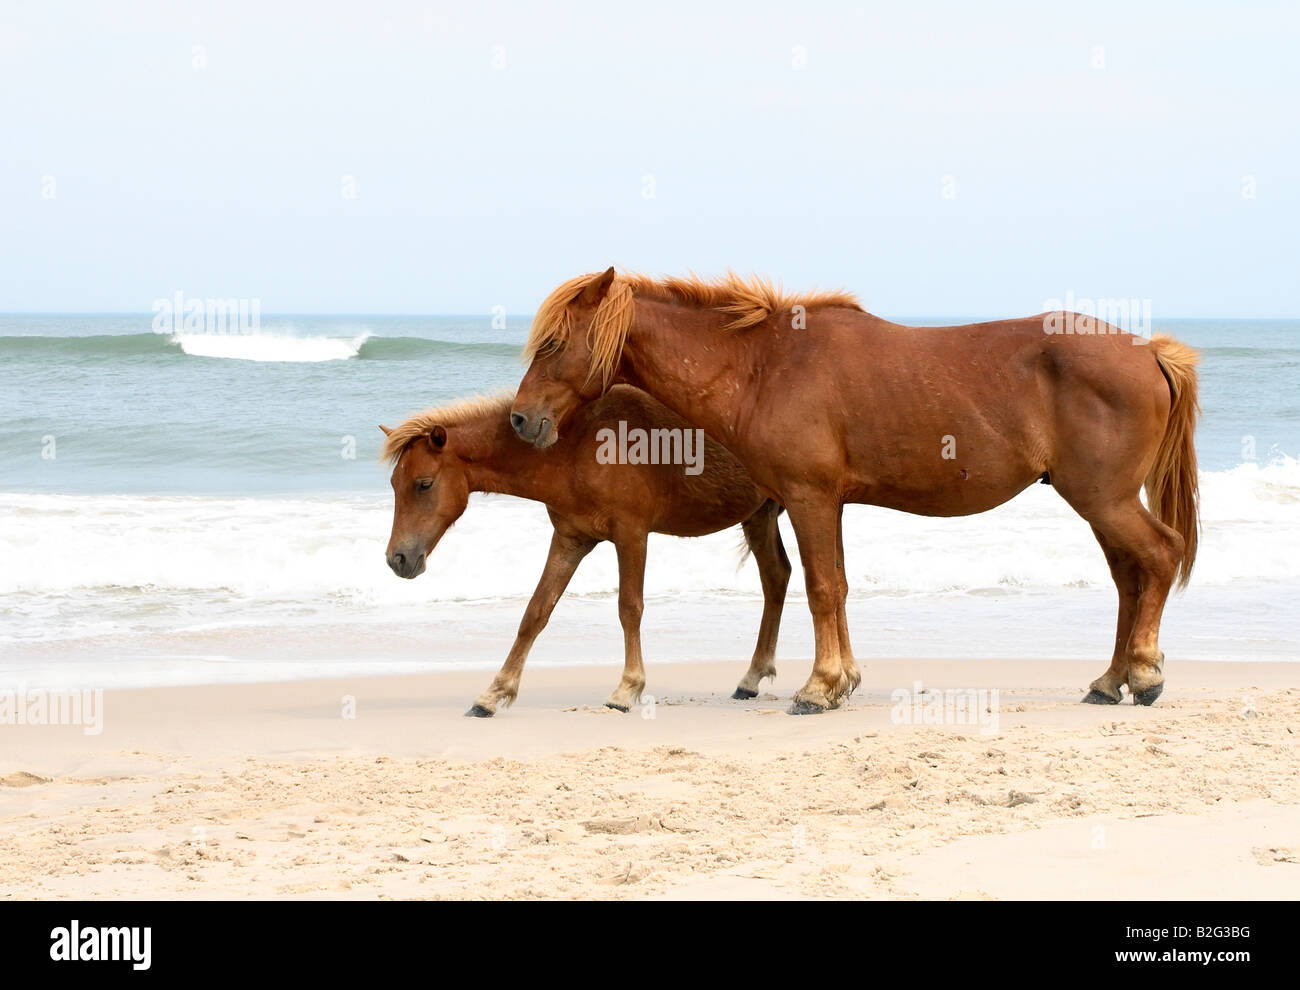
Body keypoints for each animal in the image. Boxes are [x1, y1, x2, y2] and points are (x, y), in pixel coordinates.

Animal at [381, 386, 792, 715]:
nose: (397, 559)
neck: (576, 446)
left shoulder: (631, 534)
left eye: (423, 484)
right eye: (395, 483)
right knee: (777, 578)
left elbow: (629, 607)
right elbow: (536, 613)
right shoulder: (570, 540)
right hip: (759, 516)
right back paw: (752, 678)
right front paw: (493, 694)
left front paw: (626, 689)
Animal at [509, 268, 1201, 714]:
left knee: (1159, 557)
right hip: (1097, 504)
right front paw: (841, 681)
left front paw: (818, 688)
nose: (520, 420)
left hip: (1104, 500)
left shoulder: (809, 497)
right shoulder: (827, 502)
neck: (763, 366)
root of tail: (1149, 352)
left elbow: (819, 588)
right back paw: (1109, 681)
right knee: (1131, 578)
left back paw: (1144, 673)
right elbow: (837, 587)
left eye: (554, 342)